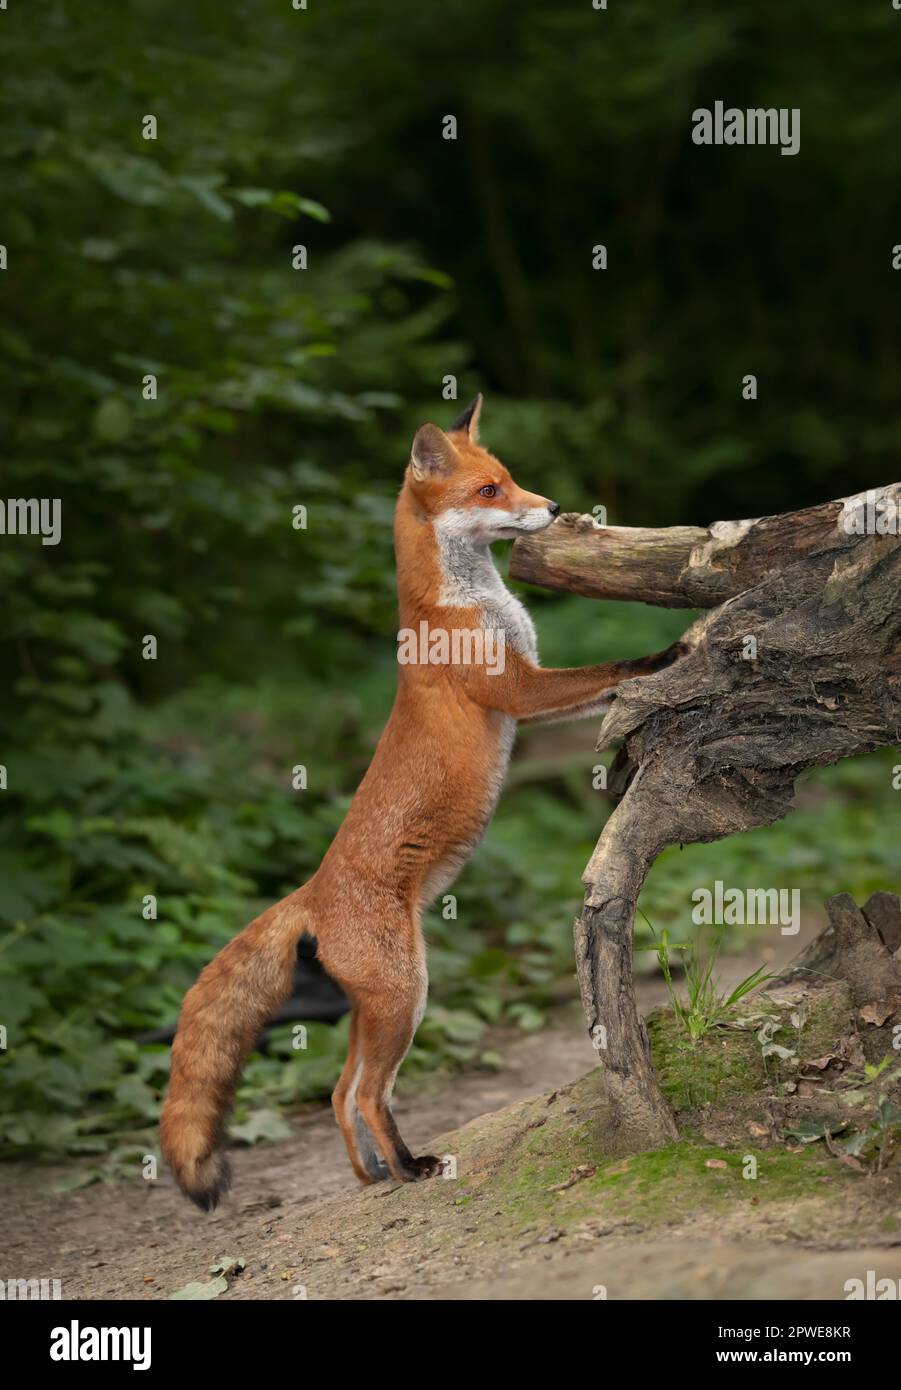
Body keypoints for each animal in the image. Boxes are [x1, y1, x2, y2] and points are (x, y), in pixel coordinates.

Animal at [160, 394, 685, 1208]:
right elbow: (610, 668)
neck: (466, 600)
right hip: (405, 994)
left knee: (339, 1093)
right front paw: (668, 652)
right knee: (367, 1092)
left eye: (511, 478)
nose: (553, 507)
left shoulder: (531, 693)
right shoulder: (517, 691)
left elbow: (598, 690)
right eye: (489, 491)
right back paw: (409, 1167)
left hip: (379, 1007)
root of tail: (313, 891)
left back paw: (372, 1174)